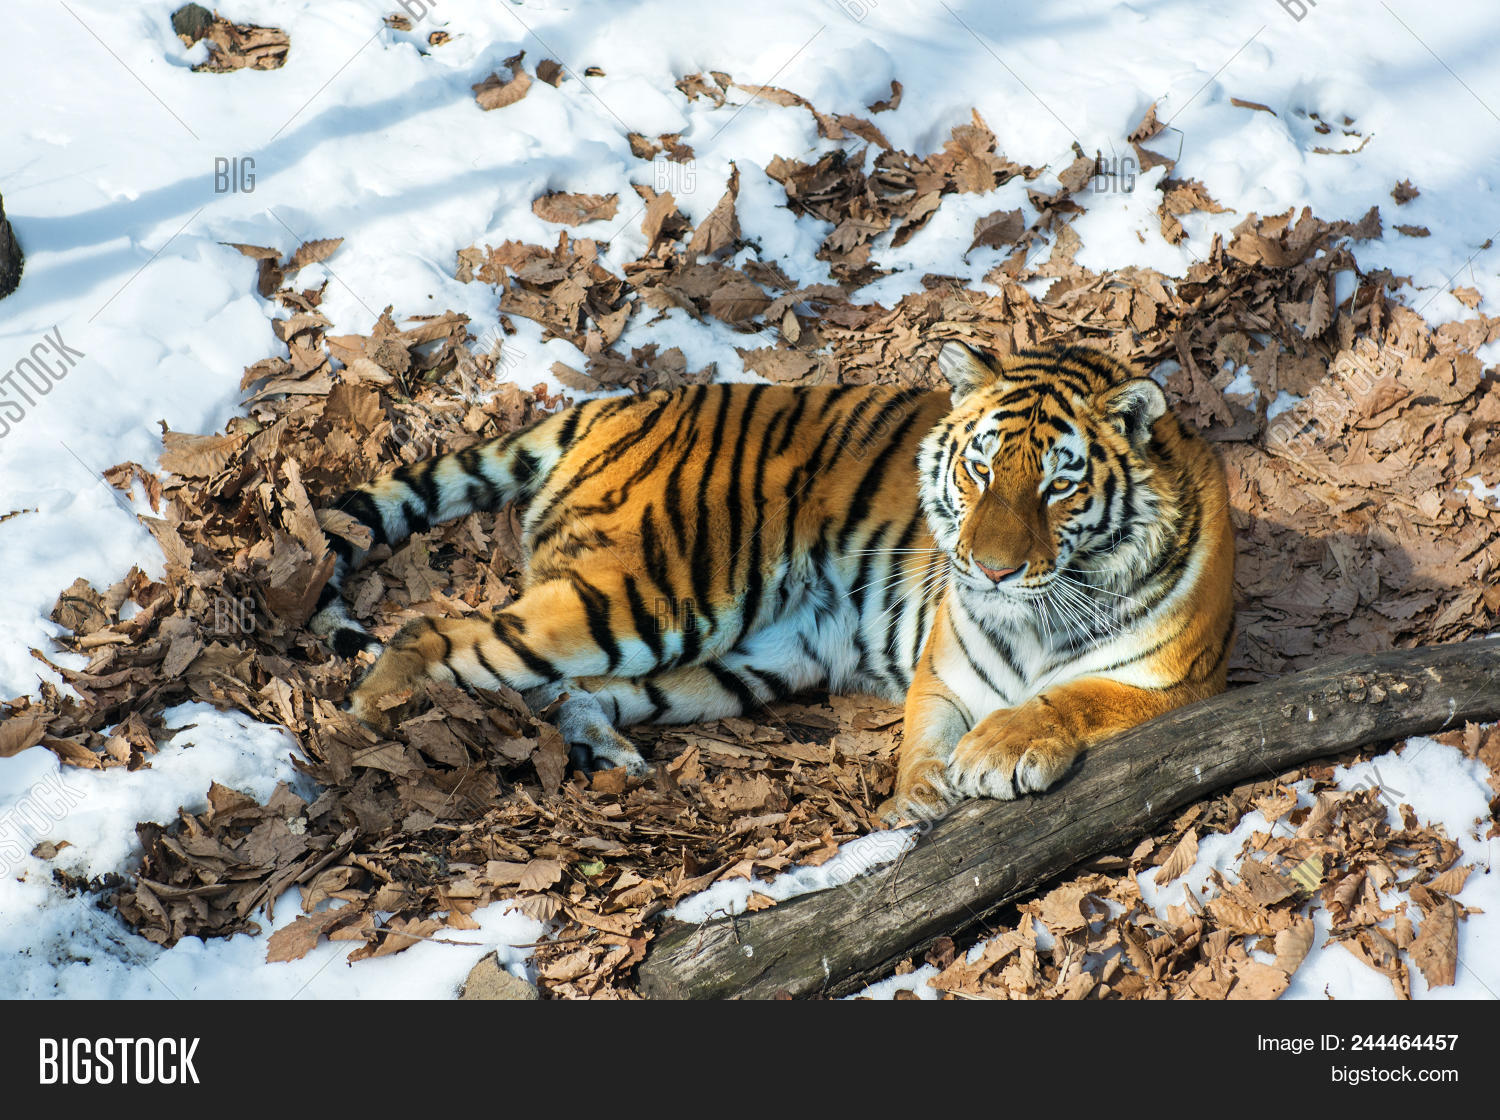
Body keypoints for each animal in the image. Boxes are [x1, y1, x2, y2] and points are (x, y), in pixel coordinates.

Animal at [310, 341, 1235, 822]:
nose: (991, 567)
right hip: (644, 596)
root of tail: (621, 403)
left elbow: (1076, 696)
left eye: (1057, 486)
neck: (1037, 613)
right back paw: (363, 724)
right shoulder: (944, 670)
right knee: (435, 633)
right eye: (979, 470)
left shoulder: (1187, 685)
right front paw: (919, 796)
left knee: (566, 691)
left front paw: (994, 750)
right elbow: (923, 735)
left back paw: (608, 751)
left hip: (736, 663)